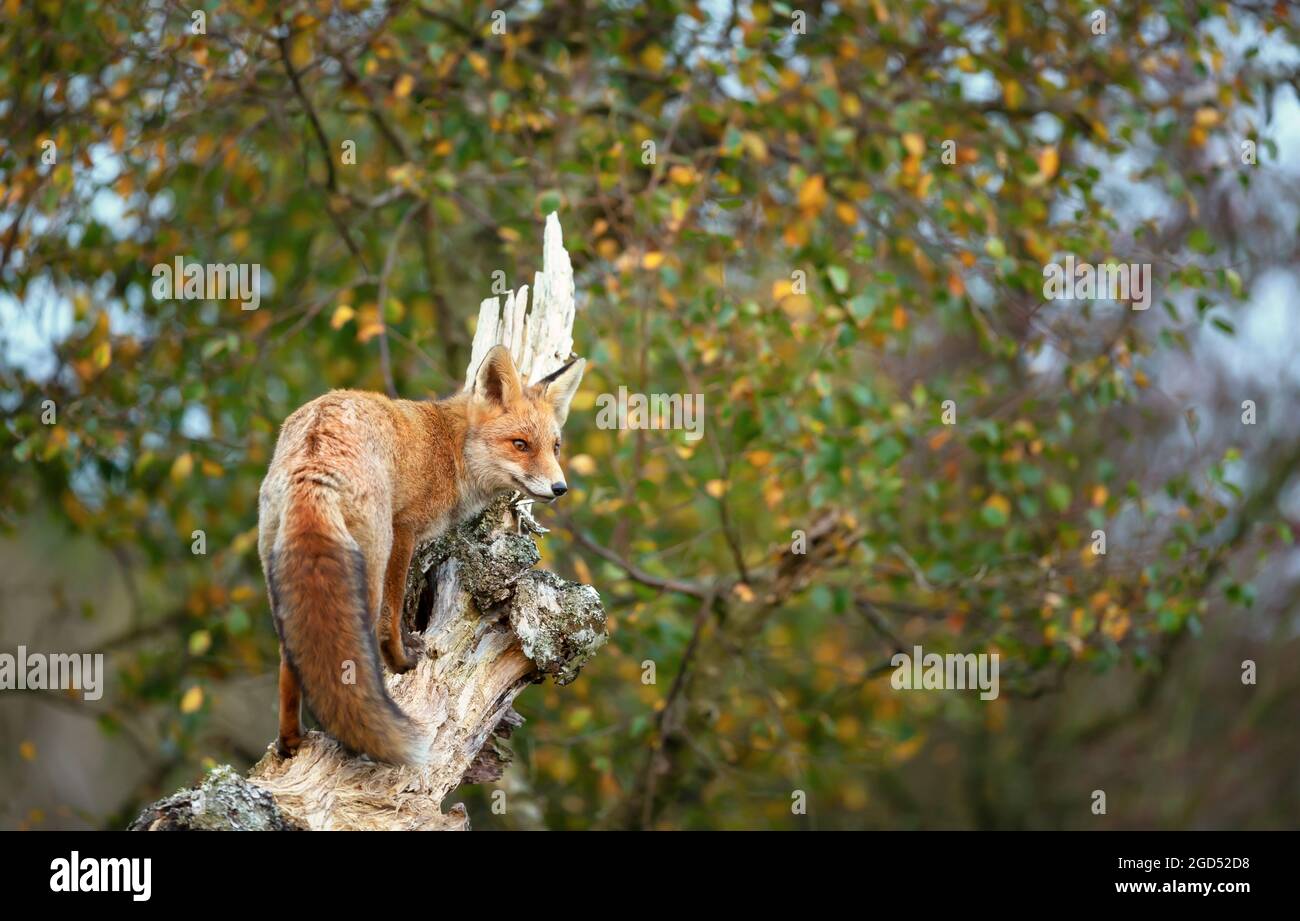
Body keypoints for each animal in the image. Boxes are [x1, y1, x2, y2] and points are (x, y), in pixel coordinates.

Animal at [257, 345, 585, 765]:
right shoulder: (405, 530)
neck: (450, 448)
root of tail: (314, 461)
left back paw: (290, 743)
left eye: (554, 447)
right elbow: (392, 616)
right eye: (520, 444)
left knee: (290, 661)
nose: (559, 488)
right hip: (372, 561)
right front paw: (402, 658)